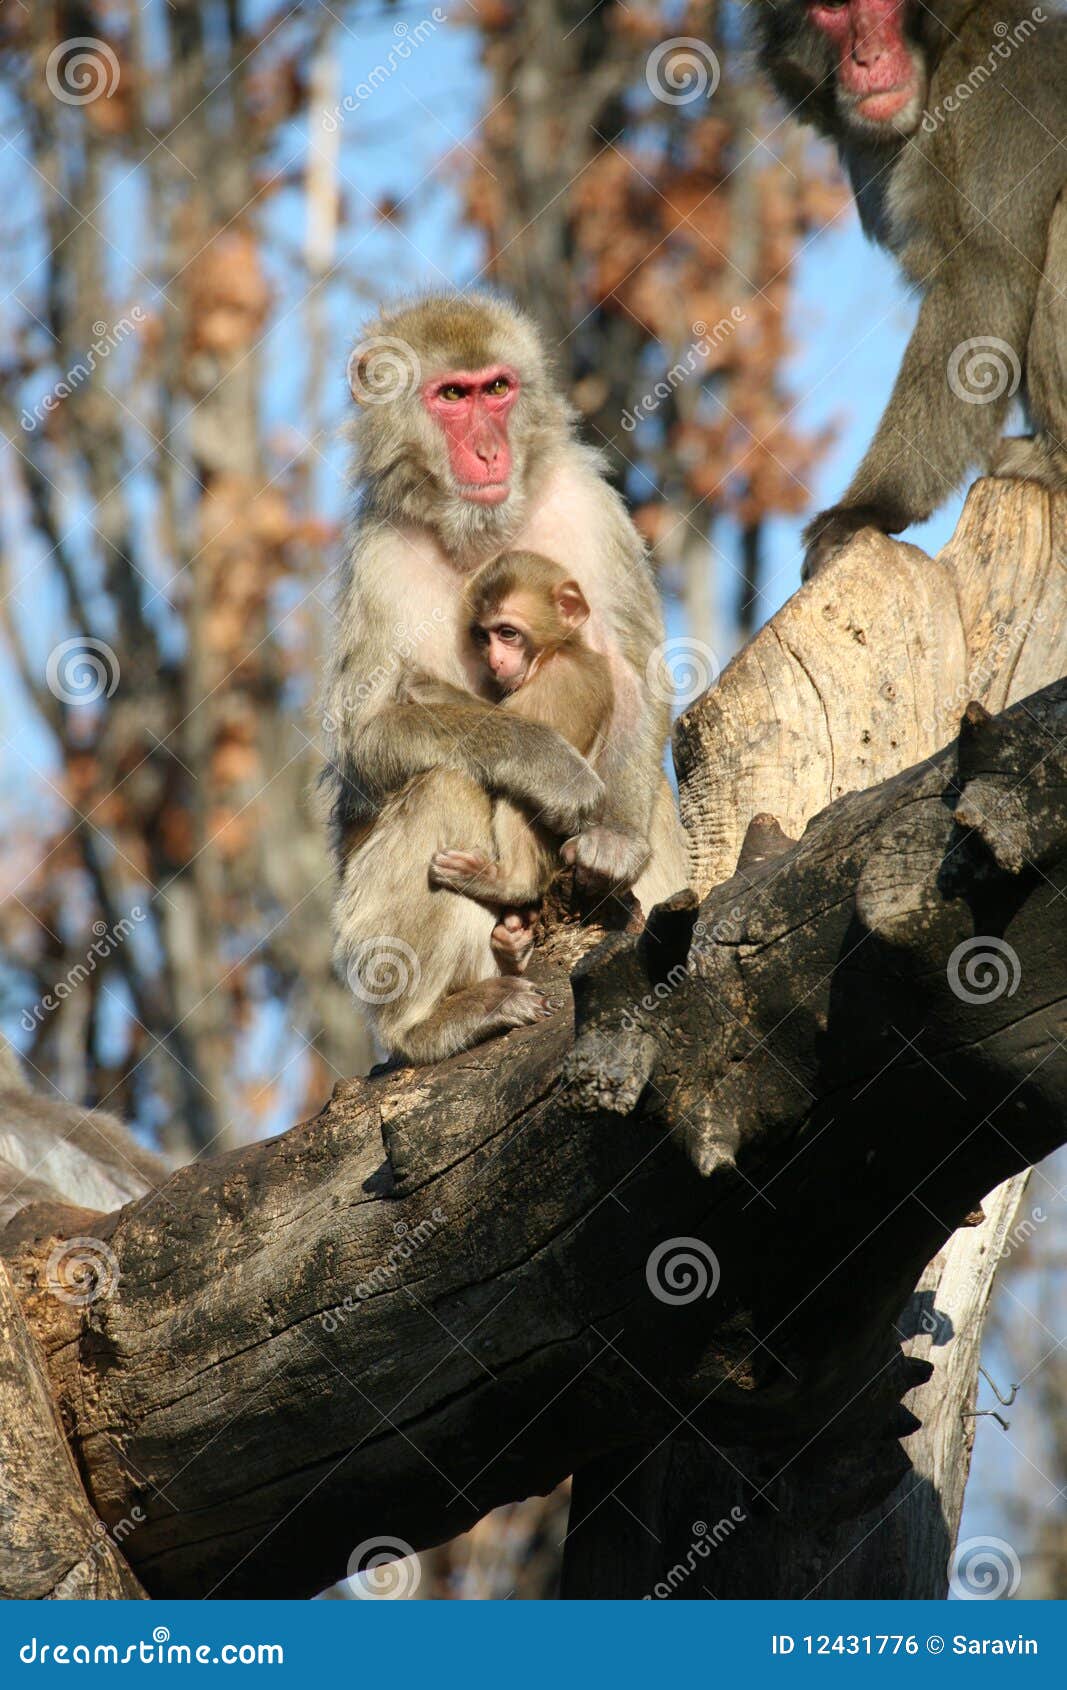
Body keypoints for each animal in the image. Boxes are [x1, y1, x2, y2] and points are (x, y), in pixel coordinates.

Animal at [322, 291, 691, 1064]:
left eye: (497, 388)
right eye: (451, 397)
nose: (490, 450)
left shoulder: (589, 504)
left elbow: (634, 672)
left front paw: (612, 838)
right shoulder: (378, 555)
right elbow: (367, 737)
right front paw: (545, 761)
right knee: (444, 782)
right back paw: (429, 1021)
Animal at [753, 0, 1067, 578]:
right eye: (832, 9)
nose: (866, 57)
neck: (950, 46)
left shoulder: (1006, 98)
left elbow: (983, 282)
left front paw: (874, 506)